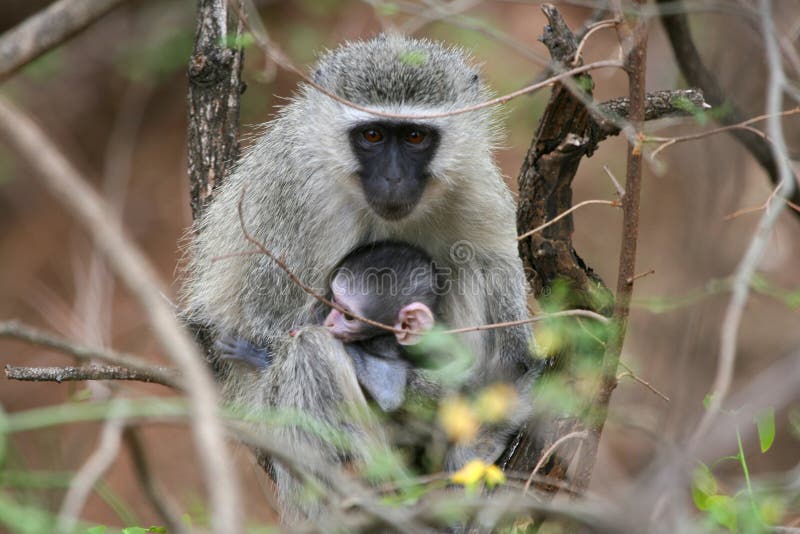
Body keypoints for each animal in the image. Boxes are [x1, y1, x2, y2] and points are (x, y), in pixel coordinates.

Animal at [183, 34, 541, 521]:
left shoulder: (474, 185)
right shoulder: (296, 191)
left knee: (478, 267)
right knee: (308, 350)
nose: (392, 178)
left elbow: (501, 275)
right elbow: (267, 320)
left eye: (414, 136)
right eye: (371, 135)